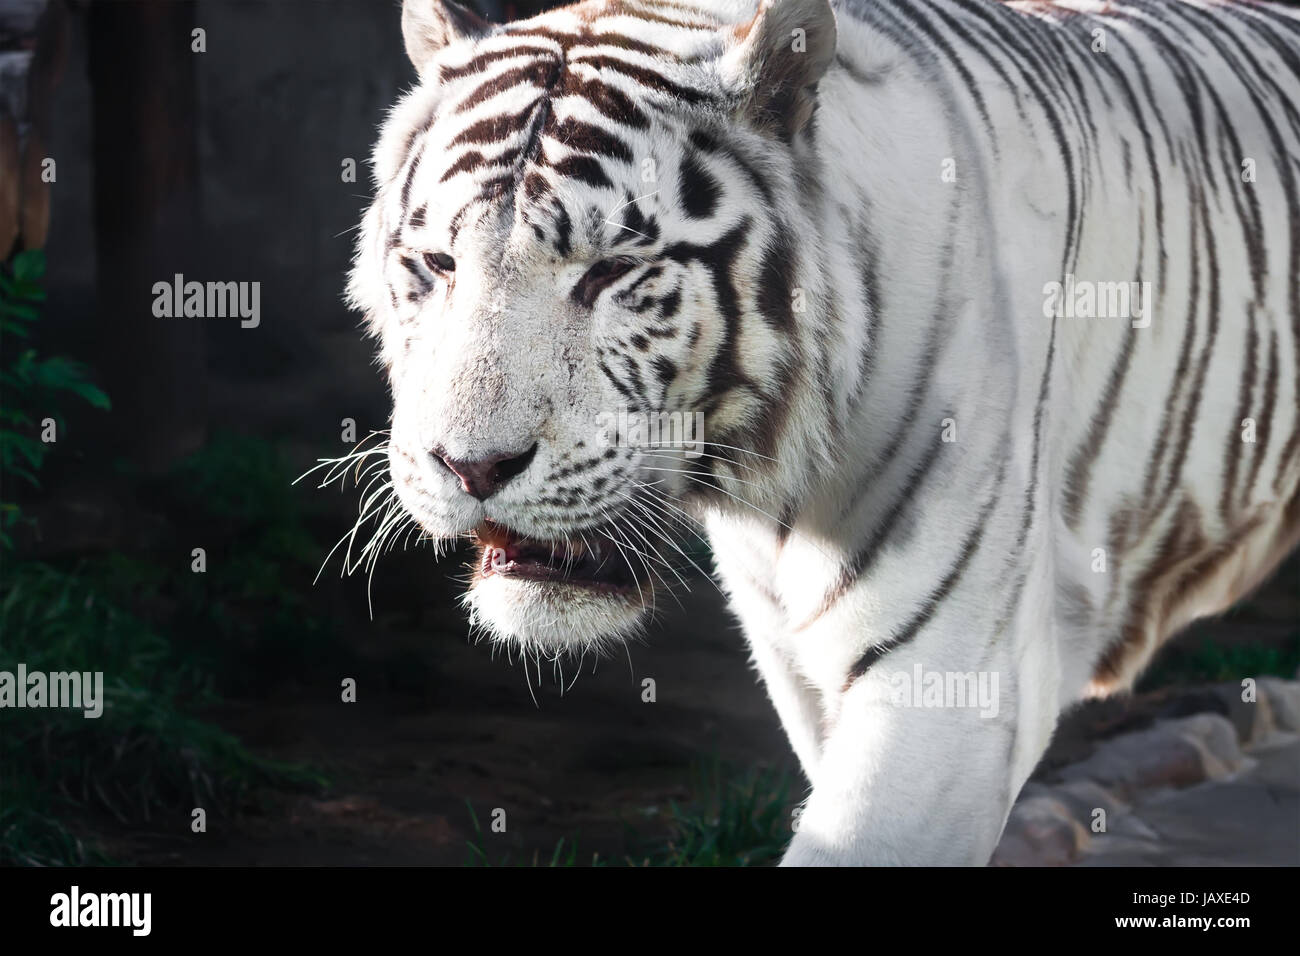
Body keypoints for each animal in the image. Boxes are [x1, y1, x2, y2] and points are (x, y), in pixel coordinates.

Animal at [345, 0, 1300, 865]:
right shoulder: (797, 666)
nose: (472, 468)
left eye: (613, 272)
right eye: (438, 265)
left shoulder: (953, 680)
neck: (774, 482)